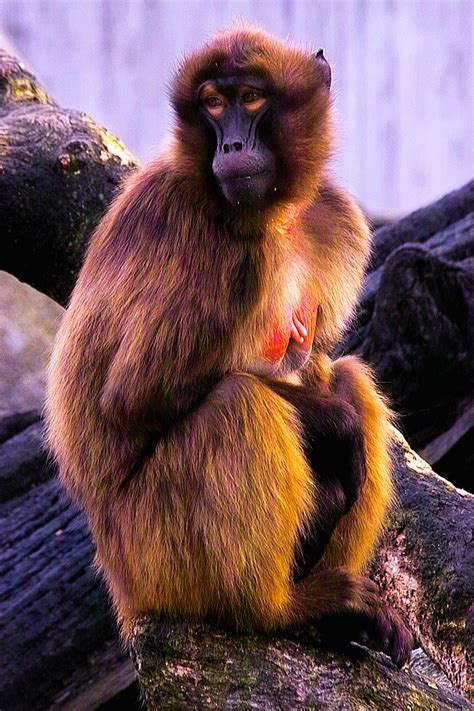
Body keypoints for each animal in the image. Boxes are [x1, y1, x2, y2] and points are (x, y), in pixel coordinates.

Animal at [45, 26, 413, 667]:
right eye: (214, 104)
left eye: (250, 96)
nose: (233, 143)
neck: (274, 217)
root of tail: (121, 590)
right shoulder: (226, 259)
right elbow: (132, 399)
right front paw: (331, 422)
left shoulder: (334, 214)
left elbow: (319, 365)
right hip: (153, 555)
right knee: (239, 404)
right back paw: (276, 608)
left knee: (350, 379)